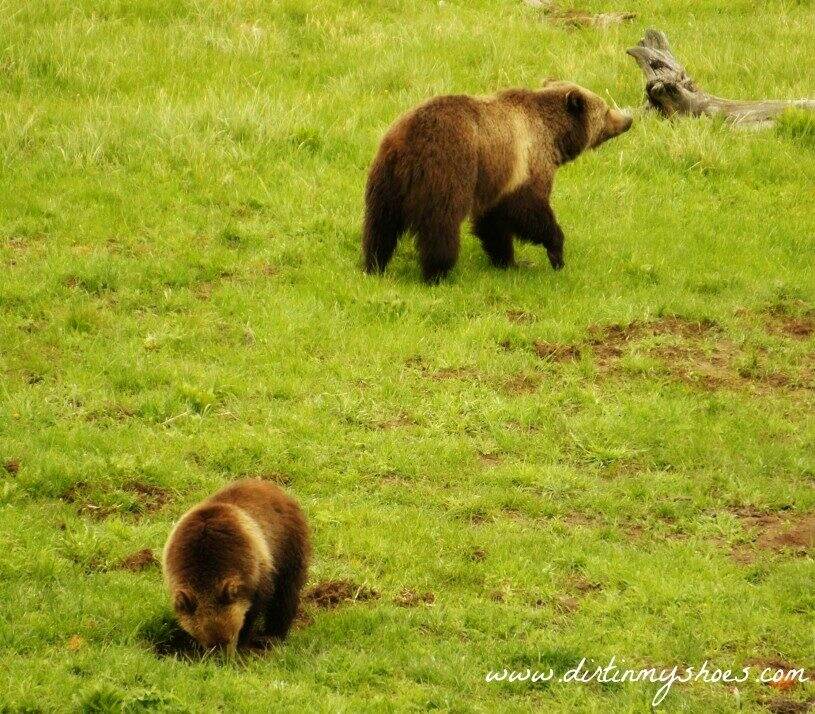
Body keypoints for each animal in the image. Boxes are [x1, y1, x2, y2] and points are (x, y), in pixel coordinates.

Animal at [162, 479, 310, 653]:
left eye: (230, 637)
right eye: (208, 642)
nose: (224, 657)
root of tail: (272, 486)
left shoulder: (255, 570)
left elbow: (254, 608)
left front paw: (245, 641)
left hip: (287, 543)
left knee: (286, 590)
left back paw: (271, 636)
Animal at [362, 80, 633, 283]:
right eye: (605, 109)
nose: (628, 120)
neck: (553, 135)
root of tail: (408, 142)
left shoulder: (497, 181)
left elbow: (492, 221)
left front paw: (507, 260)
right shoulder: (524, 165)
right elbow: (530, 211)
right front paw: (555, 253)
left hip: (385, 180)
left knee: (380, 224)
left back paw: (374, 264)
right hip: (448, 169)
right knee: (440, 224)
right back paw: (437, 272)